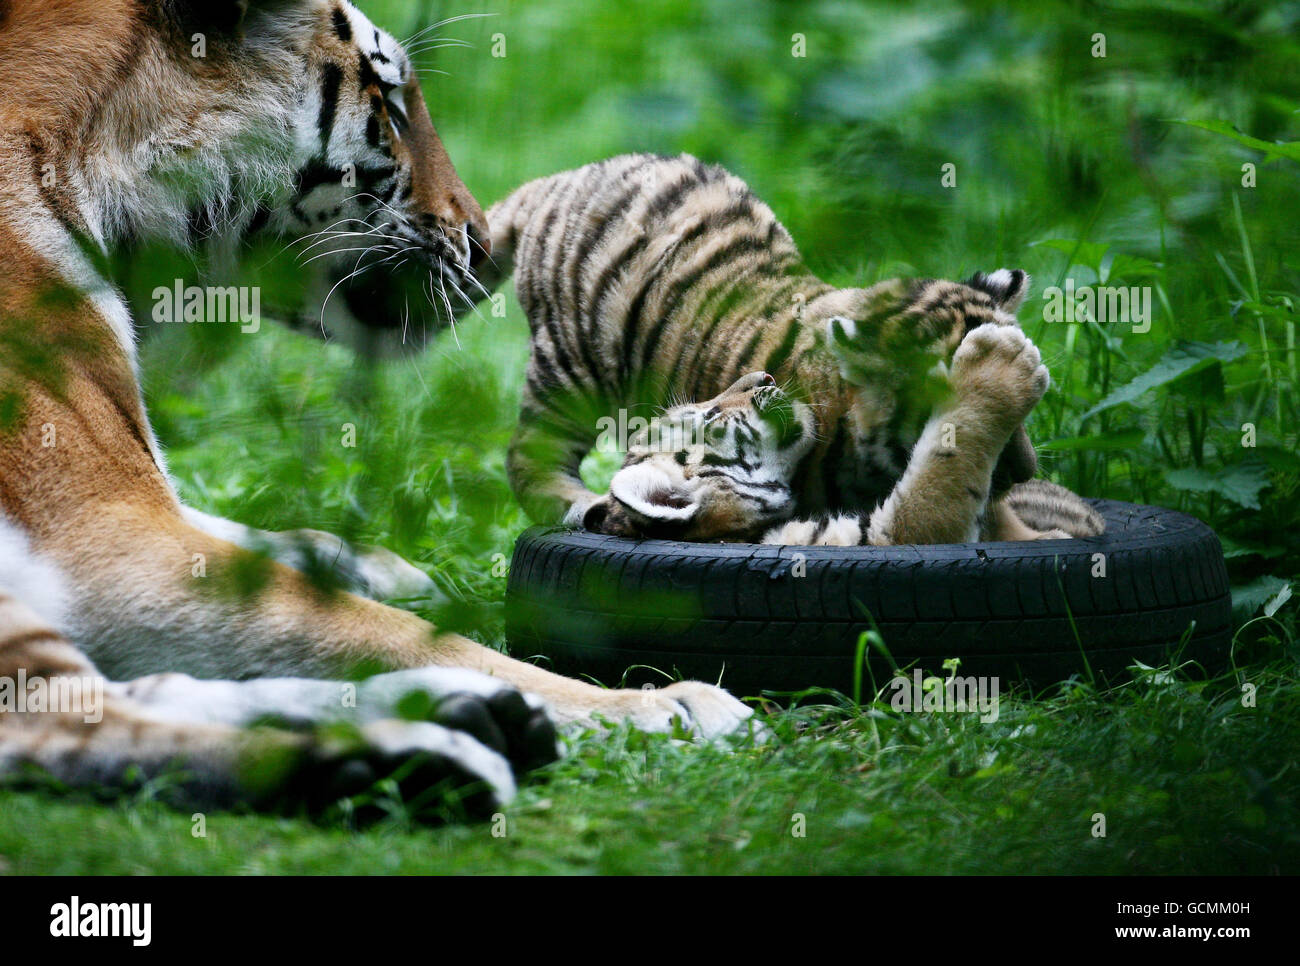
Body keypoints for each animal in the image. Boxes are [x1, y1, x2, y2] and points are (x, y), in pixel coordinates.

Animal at [0, 2, 751, 817]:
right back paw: (423, 755)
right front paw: (668, 705)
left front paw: (377, 566)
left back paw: (466, 718)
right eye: (390, 106)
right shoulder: (107, 536)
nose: (488, 242)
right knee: (61, 720)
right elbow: (399, 632)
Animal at [483, 153, 1103, 545]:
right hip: (570, 370)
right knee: (525, 455)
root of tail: (563, 178)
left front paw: (1043, 533)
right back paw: (579, 503)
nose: (1023, 476)